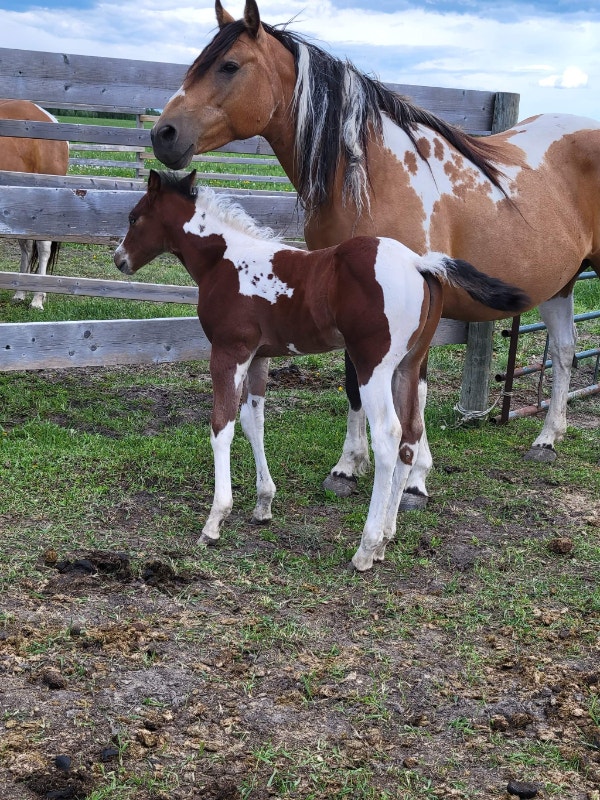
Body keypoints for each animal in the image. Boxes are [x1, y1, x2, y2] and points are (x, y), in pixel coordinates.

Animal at [114, 169, 528, 570]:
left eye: (134, 217)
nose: (120, 259)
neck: (226, 260)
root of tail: (418, 262)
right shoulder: (259, 356)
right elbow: (253, 422)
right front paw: (263, 503)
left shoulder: (229, 352)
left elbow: (222, 426)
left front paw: (215, 521)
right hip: (408, 366)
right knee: (411, 436)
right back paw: (386, 538)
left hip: (373, 366)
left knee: (388, 437)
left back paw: (366, 548)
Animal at [151, 0, 600, 510]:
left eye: (228, 66)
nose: (163, 134)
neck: (372, 176)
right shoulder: (349, 299)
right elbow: (355, 385)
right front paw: (348, 466)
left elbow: (414, 390)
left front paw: (415, 481)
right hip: (560, 284)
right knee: (564, 351)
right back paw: (547, 439)